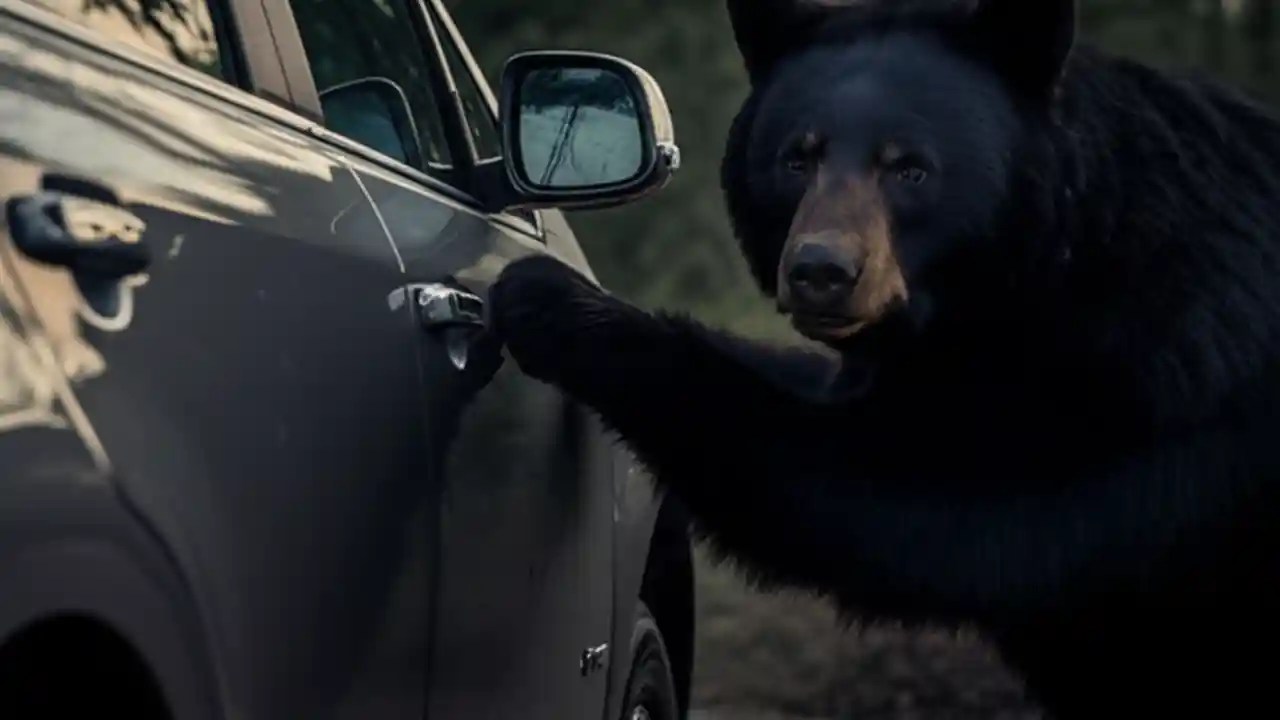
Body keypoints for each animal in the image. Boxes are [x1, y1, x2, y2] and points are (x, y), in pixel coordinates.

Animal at [489, 0, 1280, 716]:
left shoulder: (1142, 385)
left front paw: (548, 296)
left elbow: (888, 493)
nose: (820, 270)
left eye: (910, 169)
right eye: (797, 156)